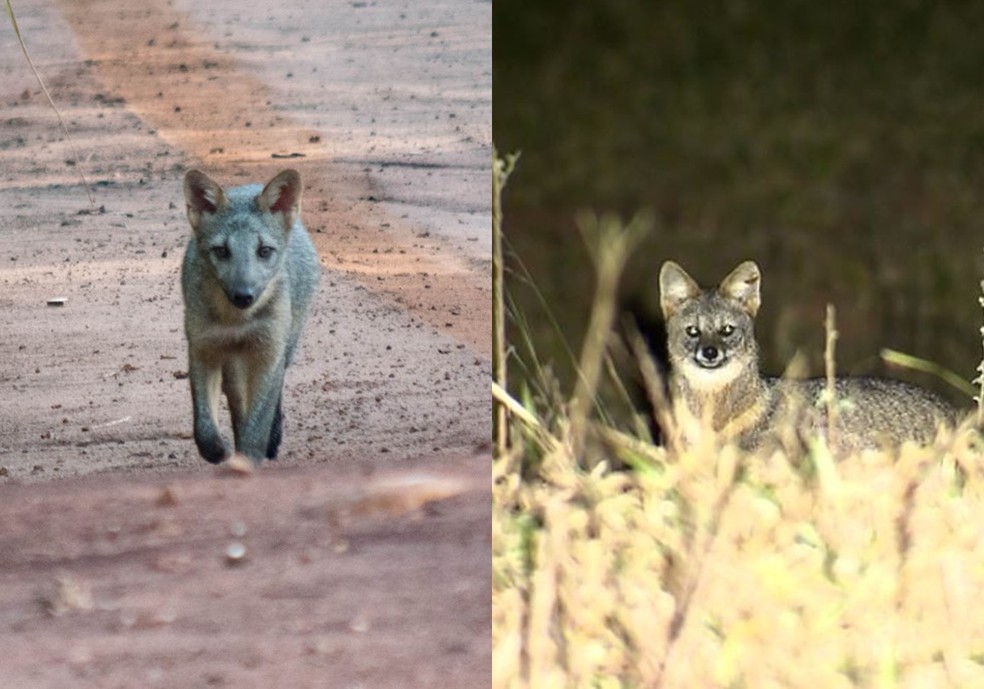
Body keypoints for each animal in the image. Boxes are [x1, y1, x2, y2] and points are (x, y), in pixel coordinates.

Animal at [181, 168, 320, 464]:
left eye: (264, 251)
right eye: (222, 251)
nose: (243, 295)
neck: (236, 322)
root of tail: (250, 185)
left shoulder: (269, 353)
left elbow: (258, 424)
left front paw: (249, 458)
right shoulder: (202, 349)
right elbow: (203, 425)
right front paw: (218, 450)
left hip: (285, 349)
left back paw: (272, 441)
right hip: (233, 363)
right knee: (236, 401)